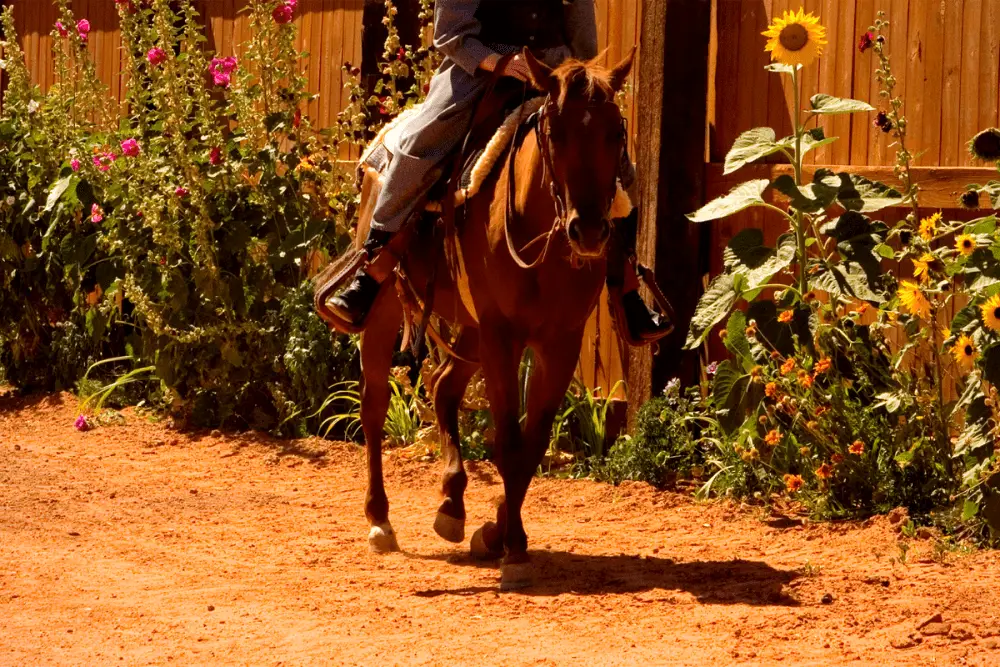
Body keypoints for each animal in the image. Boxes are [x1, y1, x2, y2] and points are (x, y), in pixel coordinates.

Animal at [318, 48, 635, 590]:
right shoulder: (501, 336)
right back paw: (380, 519)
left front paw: (497, 534)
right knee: (374, 406)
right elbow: (507, 439)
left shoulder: (559, 341)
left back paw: (452, 505)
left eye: (616, 131)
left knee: (444, 387)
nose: (591, 231)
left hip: (468, 329)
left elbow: (531, 443)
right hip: (388, 314)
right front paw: (513, 548)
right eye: (555, 131)